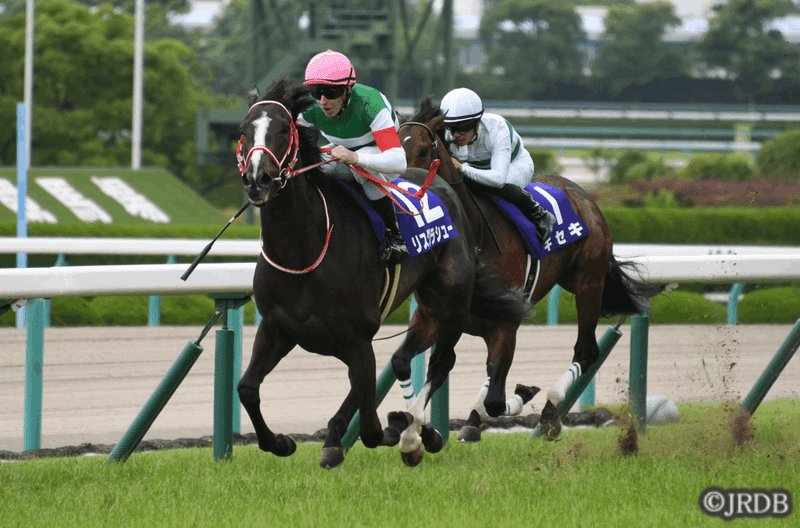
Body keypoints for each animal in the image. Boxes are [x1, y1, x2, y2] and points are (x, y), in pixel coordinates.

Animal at [236, 79, 530, 468]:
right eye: (244, 129)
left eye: (285, 129)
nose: (258, 179)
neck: (303, 253)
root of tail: (443, 185)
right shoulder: (276, 329)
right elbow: (247, 389)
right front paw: (282, 442)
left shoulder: (358, 338)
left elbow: (372, 429)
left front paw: (401, 431)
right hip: (428, 303)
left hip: (452, 299)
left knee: (441, 361)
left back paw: (415, 434)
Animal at [398, 97, 660, 440]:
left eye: (423, 151)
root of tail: (582, 194)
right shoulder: (432, 317)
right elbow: (406, 361)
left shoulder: (505, 326)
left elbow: (497, 401)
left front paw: (523, 395)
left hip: (588, 283)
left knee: (586, 351)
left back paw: (549, 414)